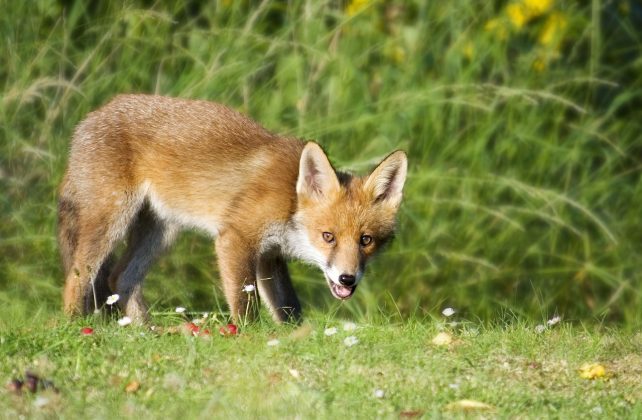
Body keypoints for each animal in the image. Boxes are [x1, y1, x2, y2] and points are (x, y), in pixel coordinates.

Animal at [58, 94, 407, 324]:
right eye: (328, 236)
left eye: (366, 240)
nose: (347, 279)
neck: (290, 200)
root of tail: (90, 117)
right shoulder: (237, 238)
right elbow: (245, 305)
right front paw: (246, 337)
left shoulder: (269, 255)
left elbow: (289, 308)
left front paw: (294, 336)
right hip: (112, 220)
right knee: (79, 275)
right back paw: (74, 325)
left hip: (161, 232)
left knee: (120, 278)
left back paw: (148, 331)